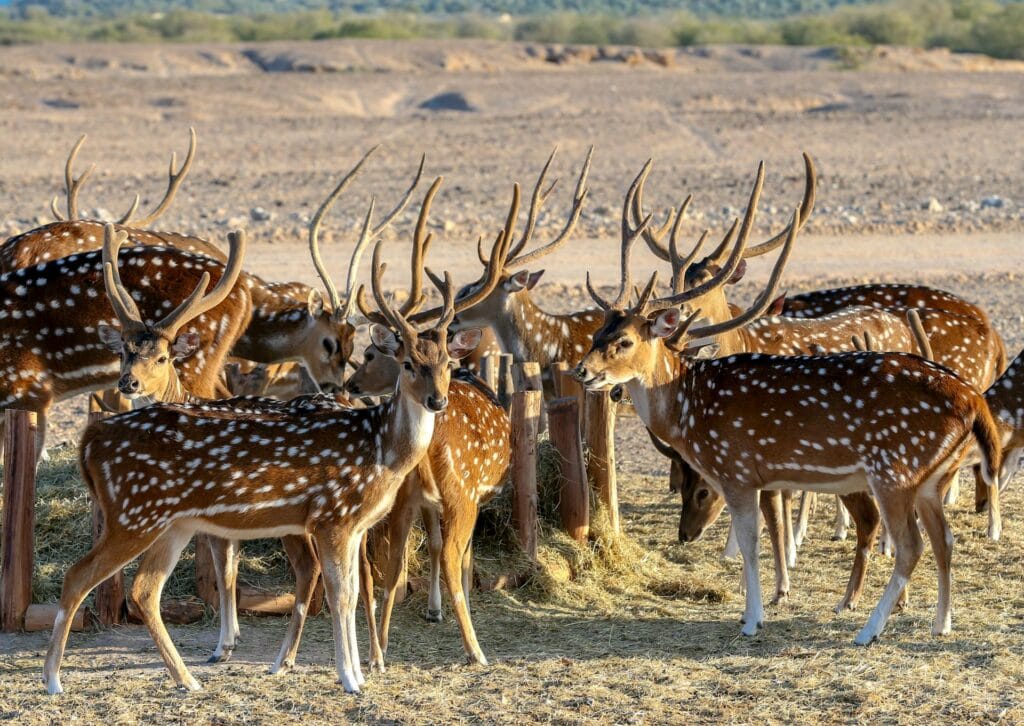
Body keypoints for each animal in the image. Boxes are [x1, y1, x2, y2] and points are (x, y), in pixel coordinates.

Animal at [43, 186, 478, 695]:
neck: (380, 451)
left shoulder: (349, 524)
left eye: (448, 362)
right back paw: (53, 680)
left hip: (171, 523)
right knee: (79, 577)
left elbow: (350, 591)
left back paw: (189, 680)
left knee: (143, 589)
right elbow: (339, 594)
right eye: (408, 363)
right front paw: (350, 678)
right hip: (133, 514)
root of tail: (90, 440)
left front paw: (358, 674)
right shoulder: (332, 517)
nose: (437, 399)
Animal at [574, 161, 1002, 644]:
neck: (691, 410)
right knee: (945, 540)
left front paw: (752, 618)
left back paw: (868, 629)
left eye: (625, 341)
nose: (582, 371)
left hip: (895, 470)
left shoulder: (738, 469)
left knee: (911, 545)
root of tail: (974, 399)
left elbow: (751, 542)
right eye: (596, 333)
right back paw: (940, 624)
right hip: (933, 477)